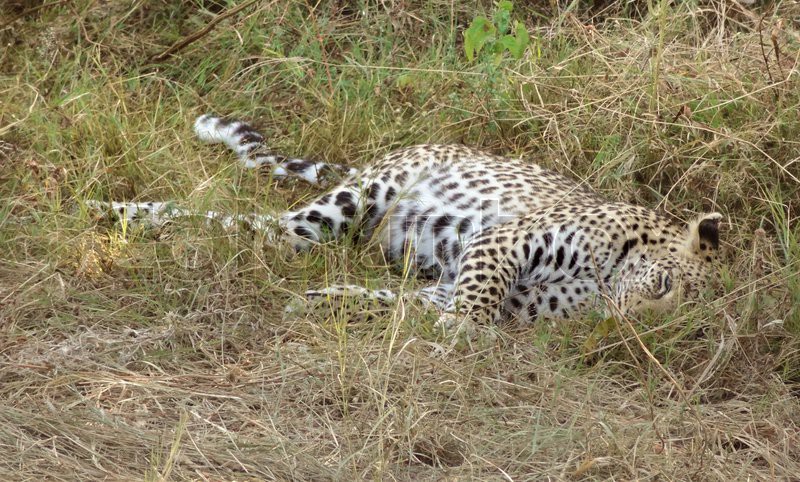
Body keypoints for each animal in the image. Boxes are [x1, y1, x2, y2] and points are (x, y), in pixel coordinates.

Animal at [89, 114, 723, 329]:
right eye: (664, 286)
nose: (628, 325)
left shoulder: (471, 289)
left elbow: (396, 304)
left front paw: (320, 302)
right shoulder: (504, 241)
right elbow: (477, 301)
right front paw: (460, 337)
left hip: (316, 230)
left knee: (255, 231)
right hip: (355, 199)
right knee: (245, 225)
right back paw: (112, 214)